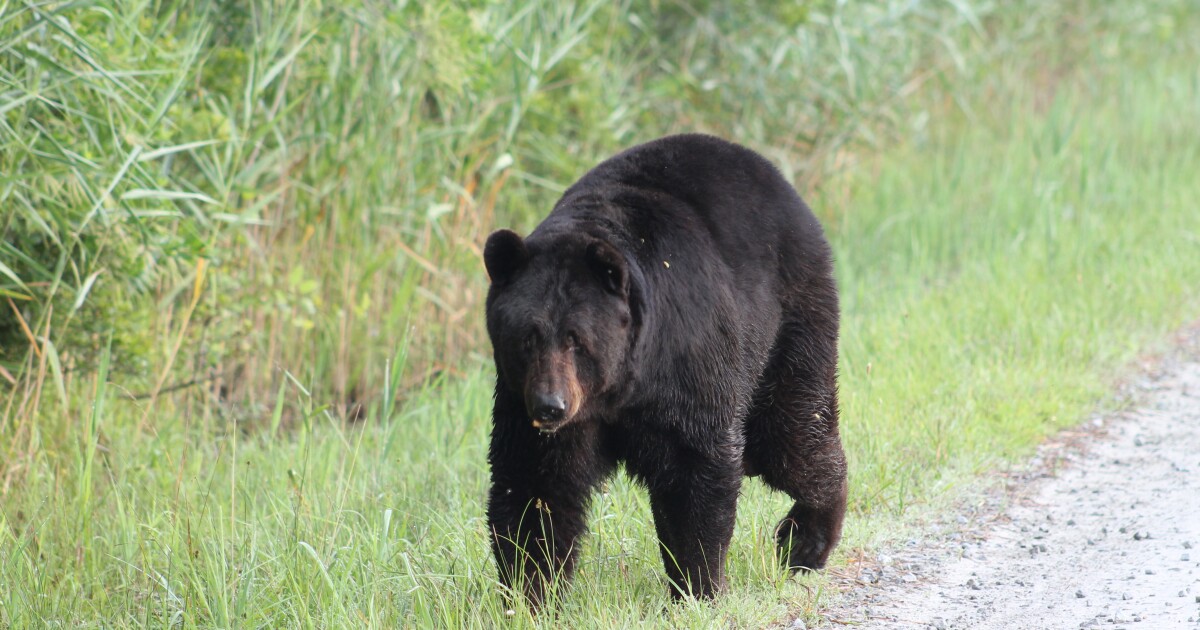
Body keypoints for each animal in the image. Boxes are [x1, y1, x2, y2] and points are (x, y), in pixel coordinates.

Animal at [483, 133, 847, 607]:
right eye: (527, 337)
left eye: (576, 338)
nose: (550, 406)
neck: (619, 388)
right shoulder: (523, 400)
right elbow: (534, 485)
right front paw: (530, 594)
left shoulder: (685, 363)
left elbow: (693, 468)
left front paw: (699, 585)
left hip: (789, 321)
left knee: (792, 433)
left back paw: (805, 541)